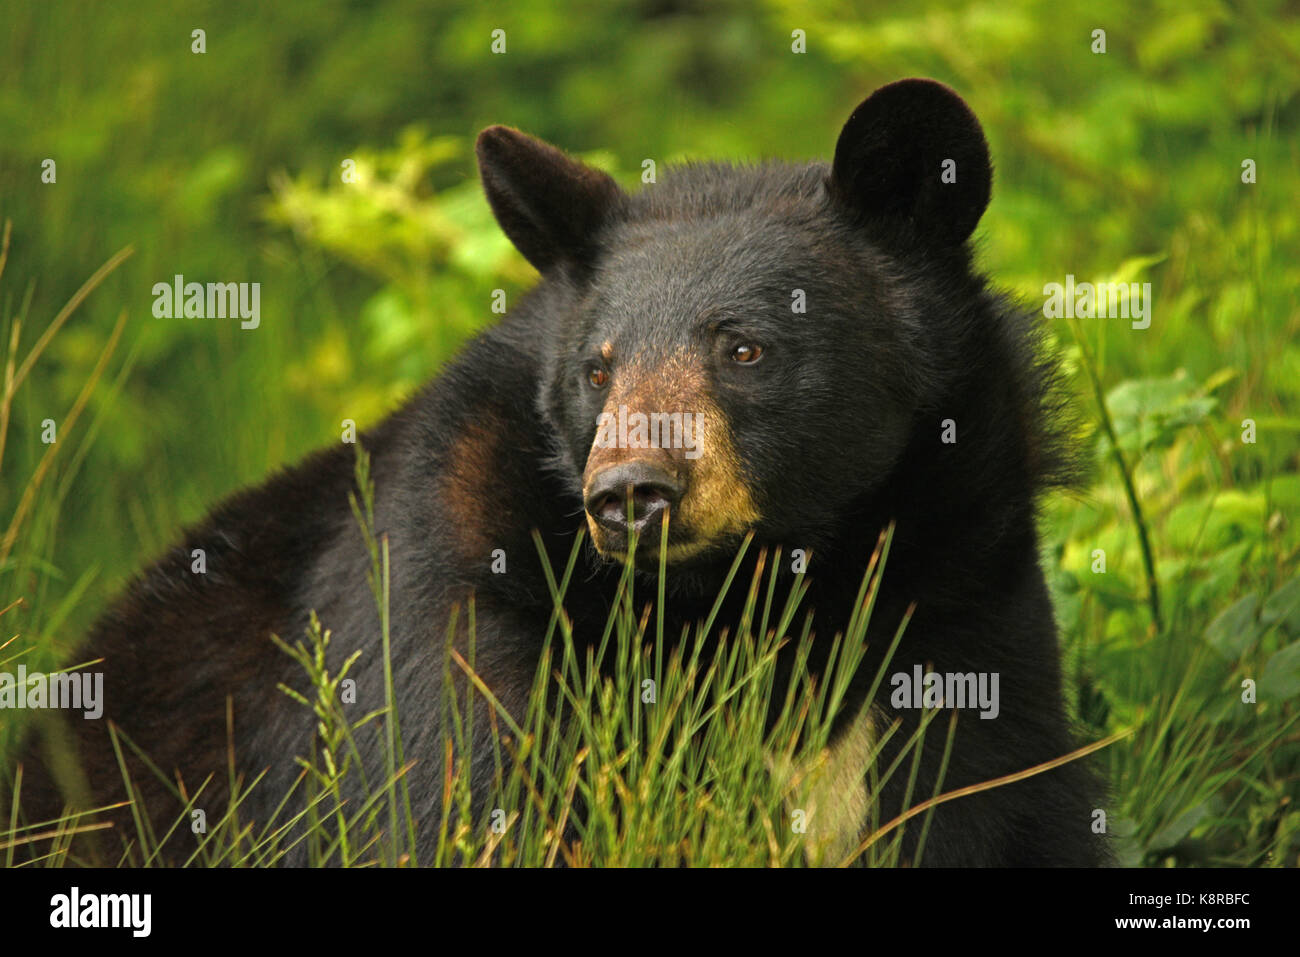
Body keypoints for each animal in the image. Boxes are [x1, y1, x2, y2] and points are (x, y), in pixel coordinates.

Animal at [12, 78, 1109, 867]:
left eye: (743, 347)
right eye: (597, 368)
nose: (629, 494)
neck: (762, 597)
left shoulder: (963, 602)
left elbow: (993, 807)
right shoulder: (471, 611)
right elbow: (452, 798)